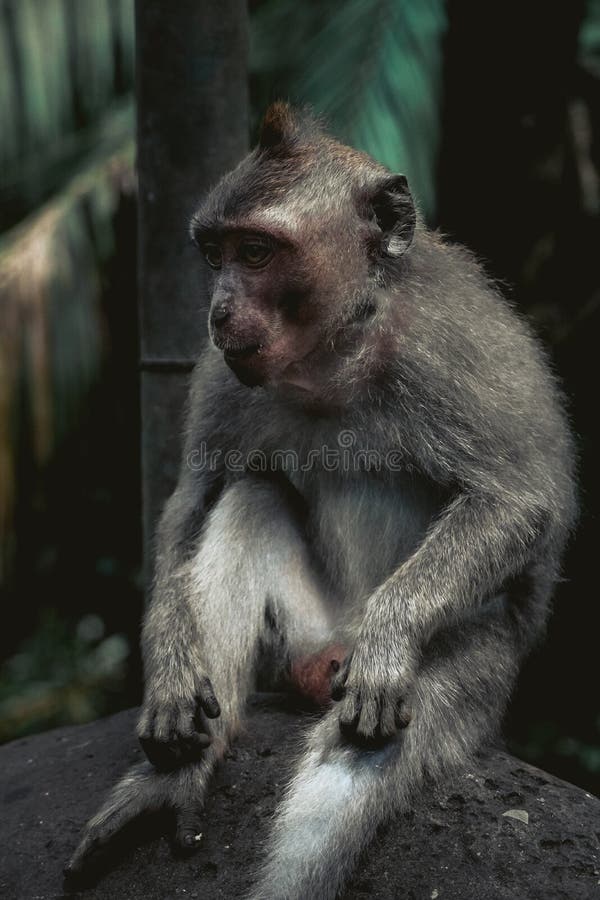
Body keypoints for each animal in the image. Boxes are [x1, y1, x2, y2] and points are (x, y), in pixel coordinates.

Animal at [65, 102, 577, 899]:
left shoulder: (451, 347)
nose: (219, 310)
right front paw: (169, 664)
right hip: (301, 636)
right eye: (214, 253)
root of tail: (326, 654)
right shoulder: (222, 371)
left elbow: (516, 501)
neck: (336, 353)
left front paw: (392, 634)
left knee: (370, 742)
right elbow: (195, 499)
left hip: (478, 656)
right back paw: (174, 778)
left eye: (256, 252)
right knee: (249, 500)